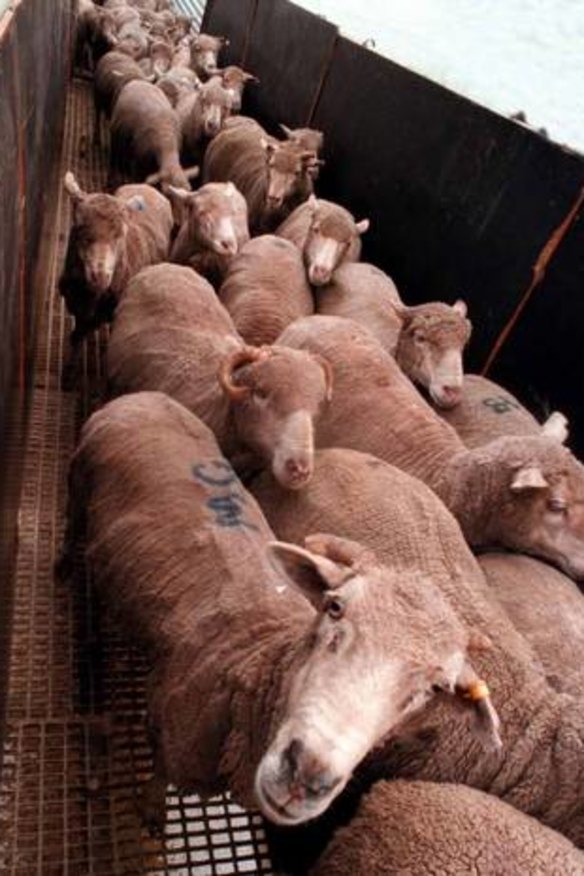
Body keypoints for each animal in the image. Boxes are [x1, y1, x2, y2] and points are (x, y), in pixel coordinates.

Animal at [59, 173, 173, 347]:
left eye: (121, 235)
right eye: (79, 227)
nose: (99, 277)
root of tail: (145, 186)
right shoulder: (77, 309)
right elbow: (76, 336)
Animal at [61, 391, 501, 831]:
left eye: (435, 689)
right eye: (334, 607)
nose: (306, 777)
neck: (257, 665)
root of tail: (145, 397)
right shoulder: (168, 734)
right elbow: (158, 777)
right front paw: (152, 811)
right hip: (78, 480)